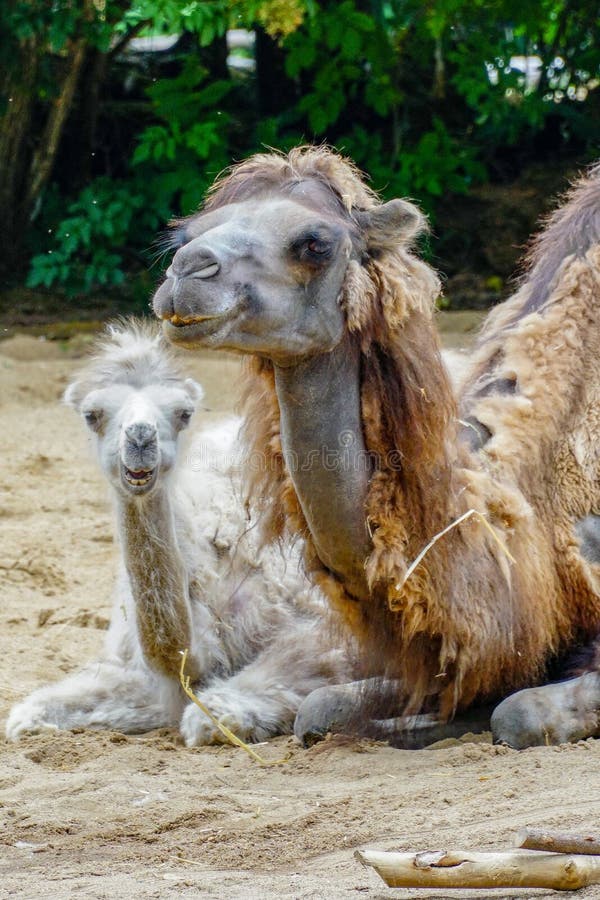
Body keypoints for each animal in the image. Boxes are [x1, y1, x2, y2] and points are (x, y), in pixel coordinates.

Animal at [6, 321, 349, 744]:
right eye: (92, 414)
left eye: (183, 413)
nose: (140, 437)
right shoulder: (142, 669)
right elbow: (29, 715)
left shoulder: (323, 624)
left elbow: (214, 714)